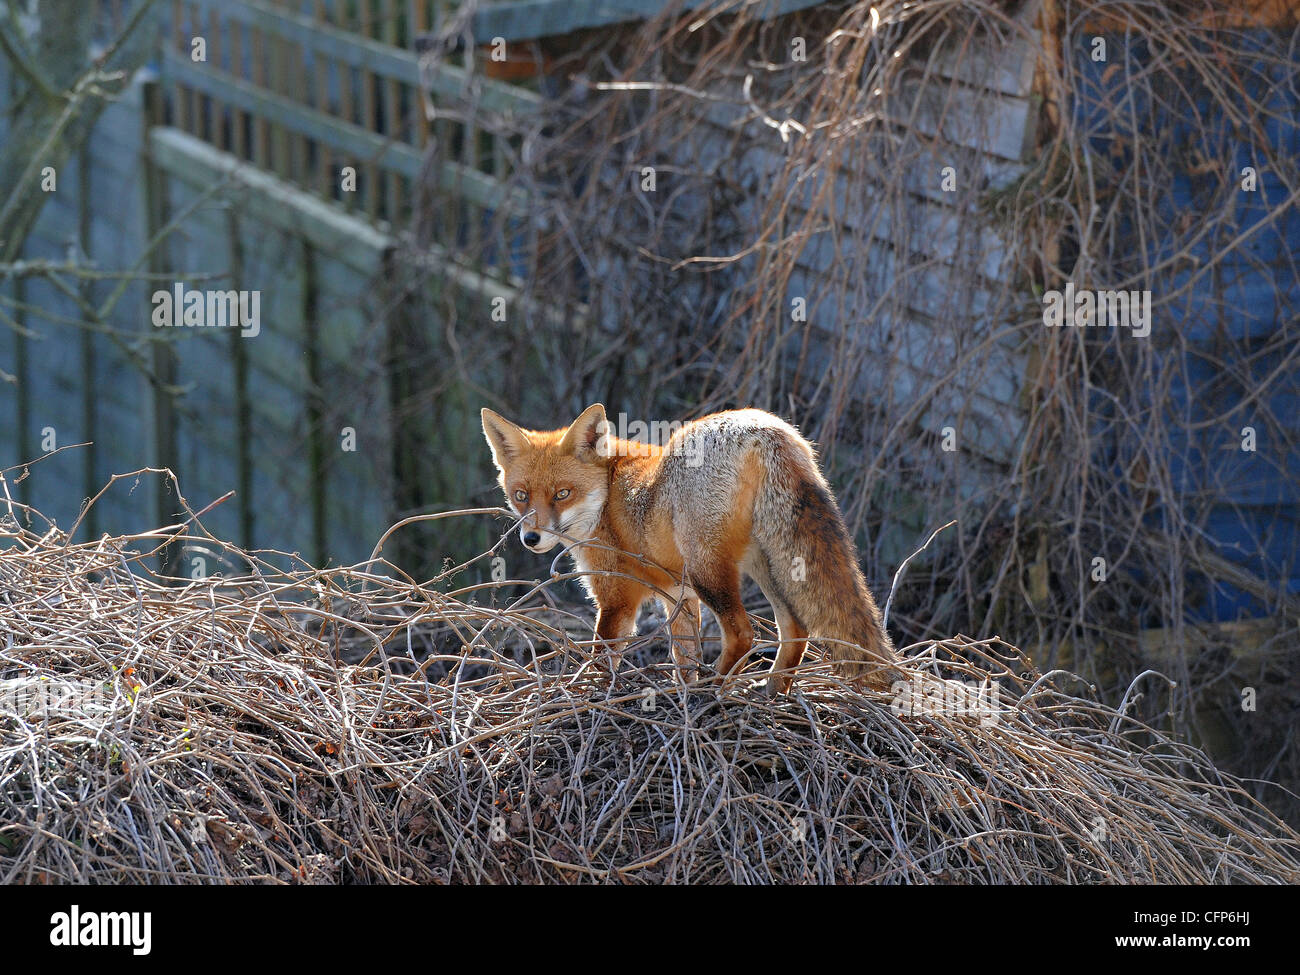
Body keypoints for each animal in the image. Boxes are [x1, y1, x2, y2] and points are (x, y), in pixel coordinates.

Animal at [480, 403, 898, 694]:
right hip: (766, 565)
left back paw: (715, 690)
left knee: (744, 633)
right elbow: (684, 658)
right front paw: (681, 689)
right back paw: (771, 692)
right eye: (521, 496)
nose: (531, 538)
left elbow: (603, 659)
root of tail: (764, 429)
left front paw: (597, 696)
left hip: (707, 568)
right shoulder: (677, 595)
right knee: (795, 629)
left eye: (562, 494)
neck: (608, 492)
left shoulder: (617, 598)